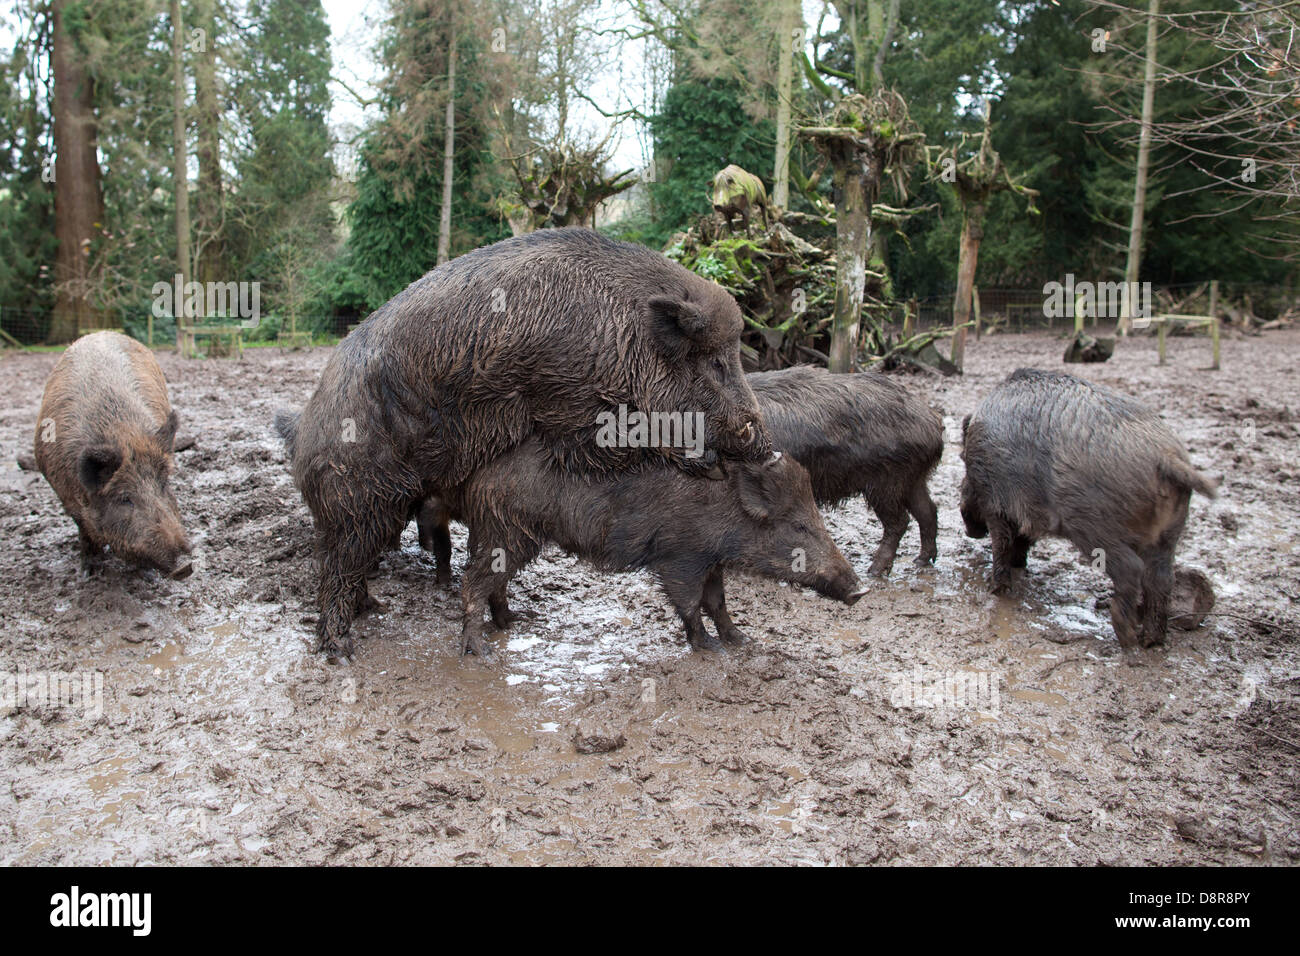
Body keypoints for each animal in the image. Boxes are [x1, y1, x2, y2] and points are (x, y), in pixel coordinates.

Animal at [33, 331, 192, 577]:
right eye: (125, 498)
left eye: (163, 484)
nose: (185, 566)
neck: (123, 436)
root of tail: (102, 332)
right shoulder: (66, 496)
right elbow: (85, 531)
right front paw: (88, 573)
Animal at [284, 228, 770, 658]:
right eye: (714, 363)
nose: (765, 446)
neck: (622, 338)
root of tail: (304, 440)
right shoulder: (568, 403)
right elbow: (608, 443)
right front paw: (707, 462)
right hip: (358, 502)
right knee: (337, 568)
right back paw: (341, 651)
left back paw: (375, 608)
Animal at [450, 441, 866, 657]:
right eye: (798, 526)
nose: (860, 590)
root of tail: (476, 479)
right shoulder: (681, 557)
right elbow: (690, 603)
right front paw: (708, 648)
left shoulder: (711, 562)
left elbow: (718, 603)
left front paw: (741, 640)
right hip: (508, 533)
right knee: (473, 583)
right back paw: (480, 651)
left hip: (511, 537)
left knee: (496, 584)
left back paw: (516, 621)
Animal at [747, 366, 943, 576]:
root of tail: (933, 422)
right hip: (912, 479)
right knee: (928, 510)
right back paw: (921, 561)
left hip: (886, 481)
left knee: (900, 521)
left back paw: (874, 570)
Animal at [959, 368, 1216, 649]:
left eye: (963, 469)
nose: (969, 529)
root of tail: (1167, 458)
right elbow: (1021, 541)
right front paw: (1018, 568)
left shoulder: (996, 504)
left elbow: (1002, 543)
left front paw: (994, 588)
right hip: (1170, 531)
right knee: (1162, 578)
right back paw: (1151, 640)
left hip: (1092, 524)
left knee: (1131, 569)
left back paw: (1126, 638)